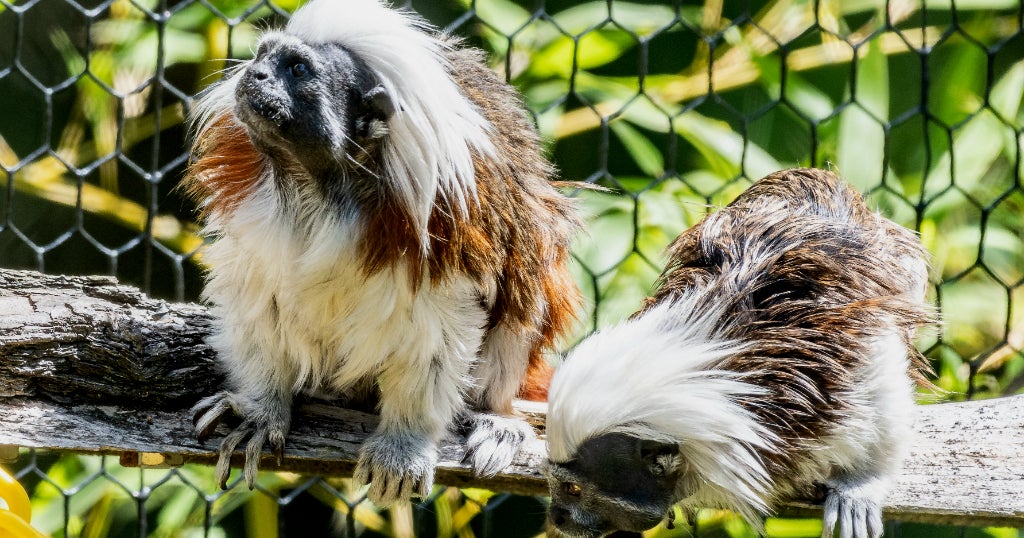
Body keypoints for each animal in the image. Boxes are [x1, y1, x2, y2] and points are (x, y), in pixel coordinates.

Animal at [182, 0, 580, 505]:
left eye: (297, 69)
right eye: (263, 56)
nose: (254, 74)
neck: (321, 190)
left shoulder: (444, 234)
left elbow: (436, 340)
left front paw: (404, 444)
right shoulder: (256, 228)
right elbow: (259, 306)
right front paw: (260, 408)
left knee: (528, 279)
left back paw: (494, 415)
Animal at [544, 168, 934, 538]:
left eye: (573, 489)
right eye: (556, 485)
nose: (557, 516)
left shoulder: (839, 351)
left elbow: (882, 375)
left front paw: (860, 486)